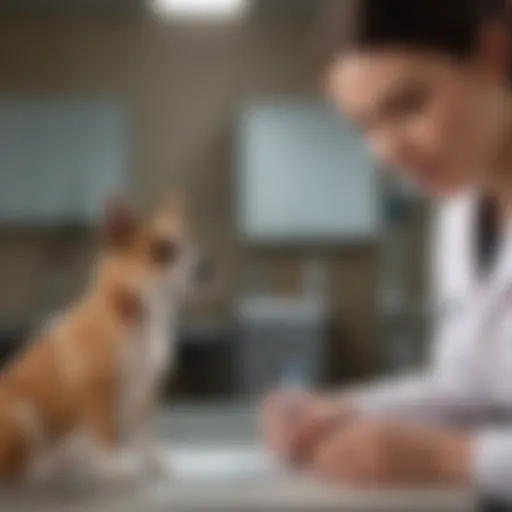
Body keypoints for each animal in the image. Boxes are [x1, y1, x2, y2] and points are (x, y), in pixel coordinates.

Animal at [0, 195, 206, 484]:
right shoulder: (97, 390)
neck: (135, 313)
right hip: (22, 416)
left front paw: (153, 461)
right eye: (163, 251)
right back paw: (49, 466)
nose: (206, 267)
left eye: (191, 245)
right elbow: (107, 432)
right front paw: (115, 466)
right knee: (16, 464)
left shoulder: (145, 393)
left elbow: (145, 434)